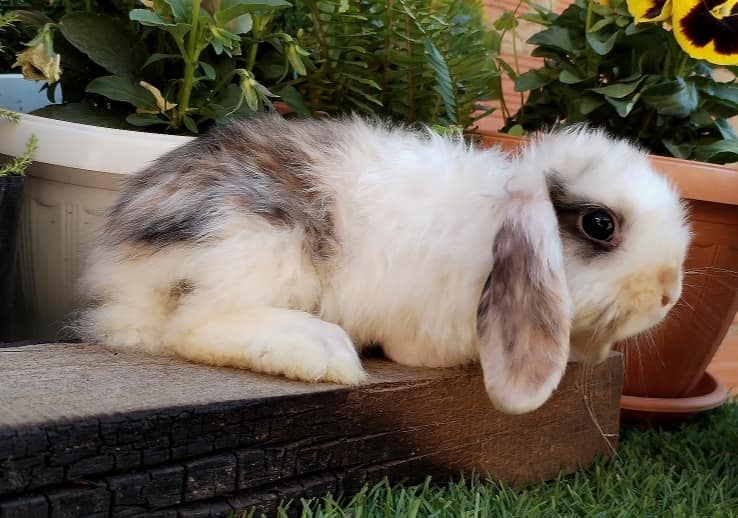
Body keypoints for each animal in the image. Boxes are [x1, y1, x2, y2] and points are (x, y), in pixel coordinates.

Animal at [76, 114, 691, 415]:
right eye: (600, 224)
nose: (668, 294)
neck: (486, 227)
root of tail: (119, 267)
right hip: (261, 241)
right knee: (195, 326)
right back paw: (323, 353)